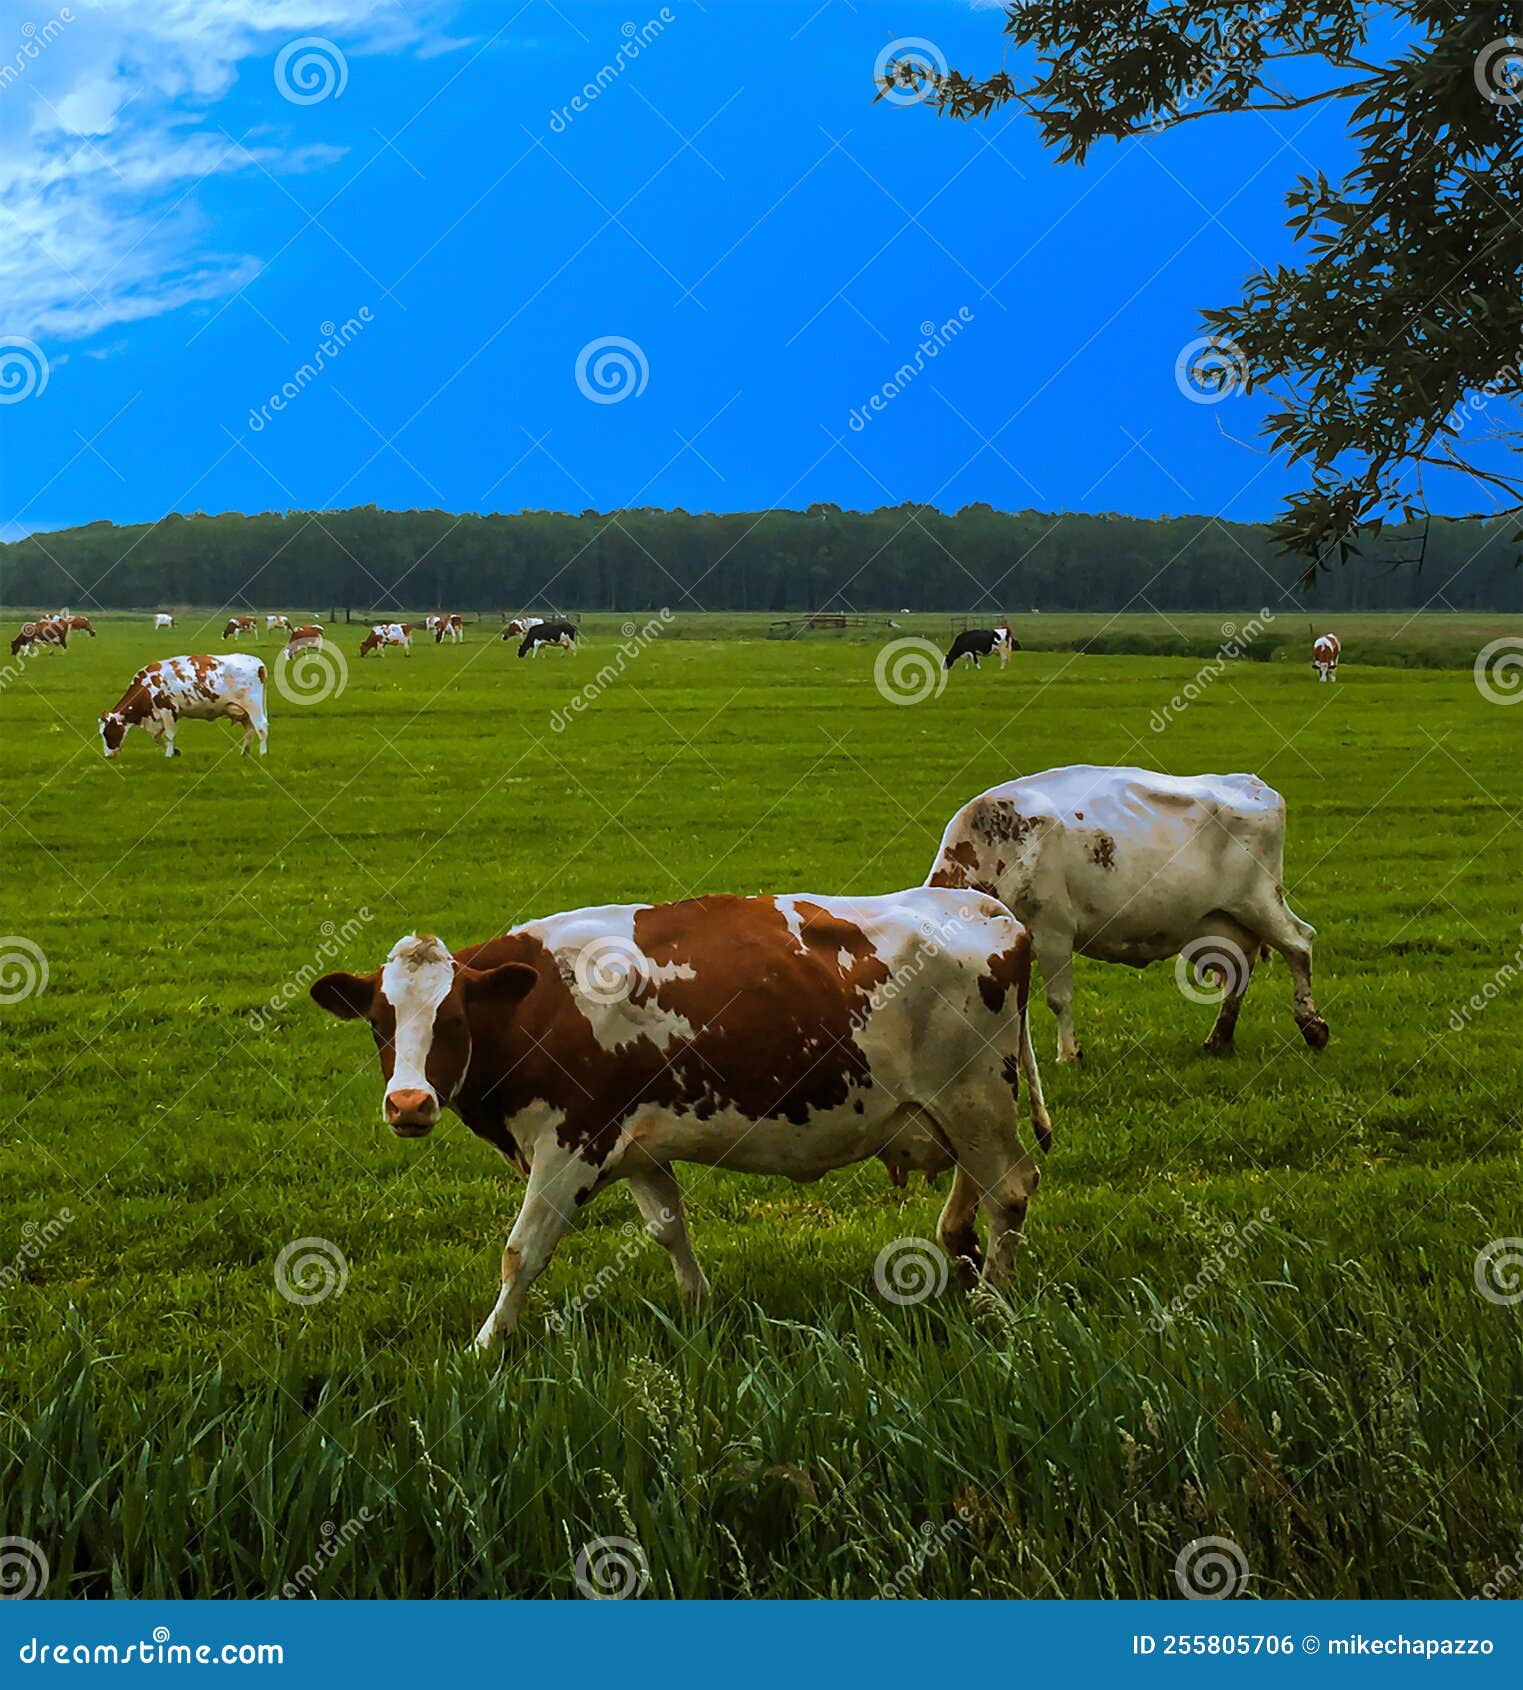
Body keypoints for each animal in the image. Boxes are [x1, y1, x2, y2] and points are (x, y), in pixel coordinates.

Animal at [99, 653, 269, 760]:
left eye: (106, 733)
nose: (107, 756)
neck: (148, 686)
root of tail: (257, 663)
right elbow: (157, 737)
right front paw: (175, 751)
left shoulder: (168, 710)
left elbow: (169, 735)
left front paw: (169, 754)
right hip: (242, 711)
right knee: (249, 730)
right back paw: (245, 753)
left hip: (253, 706)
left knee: (261, 728)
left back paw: (263, 753)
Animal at [312, 888, 1051, 1348]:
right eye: (379, 1024)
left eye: (455, 1021)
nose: (409, 1104)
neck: (542, 1002)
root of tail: (980, 903)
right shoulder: (635, 1145)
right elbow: (669, 1227)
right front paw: (698, 1308)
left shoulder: (572, 1142)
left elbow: (522, 1252)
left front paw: (486, 1345)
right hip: (958, 1106)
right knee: (977, 1188)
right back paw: (962, 1255)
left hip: (975, 1095)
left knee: (1010, 1189)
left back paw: (993, 1300)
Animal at [927, 765, 1328, 1062]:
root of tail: (1255, 784)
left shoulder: (1053, 930)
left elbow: (1059, 999)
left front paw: (1068, 1055)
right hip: (1220, 920)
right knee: (1238, 969)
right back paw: (1220, 1039)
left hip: (1259, 901)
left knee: (1299, 942)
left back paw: (1312, 1026)